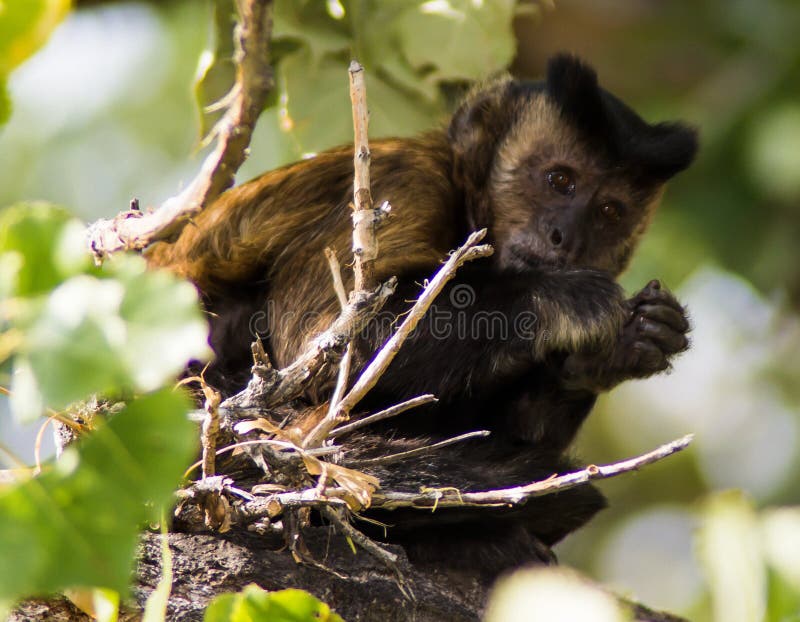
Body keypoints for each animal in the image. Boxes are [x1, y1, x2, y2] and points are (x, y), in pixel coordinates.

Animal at [148, 54, 698, 579]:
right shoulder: (405, 182)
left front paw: (618, 351)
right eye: (560, 181)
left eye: (609, 212)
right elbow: (321, 343)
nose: (567, 237)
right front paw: (565, 300)